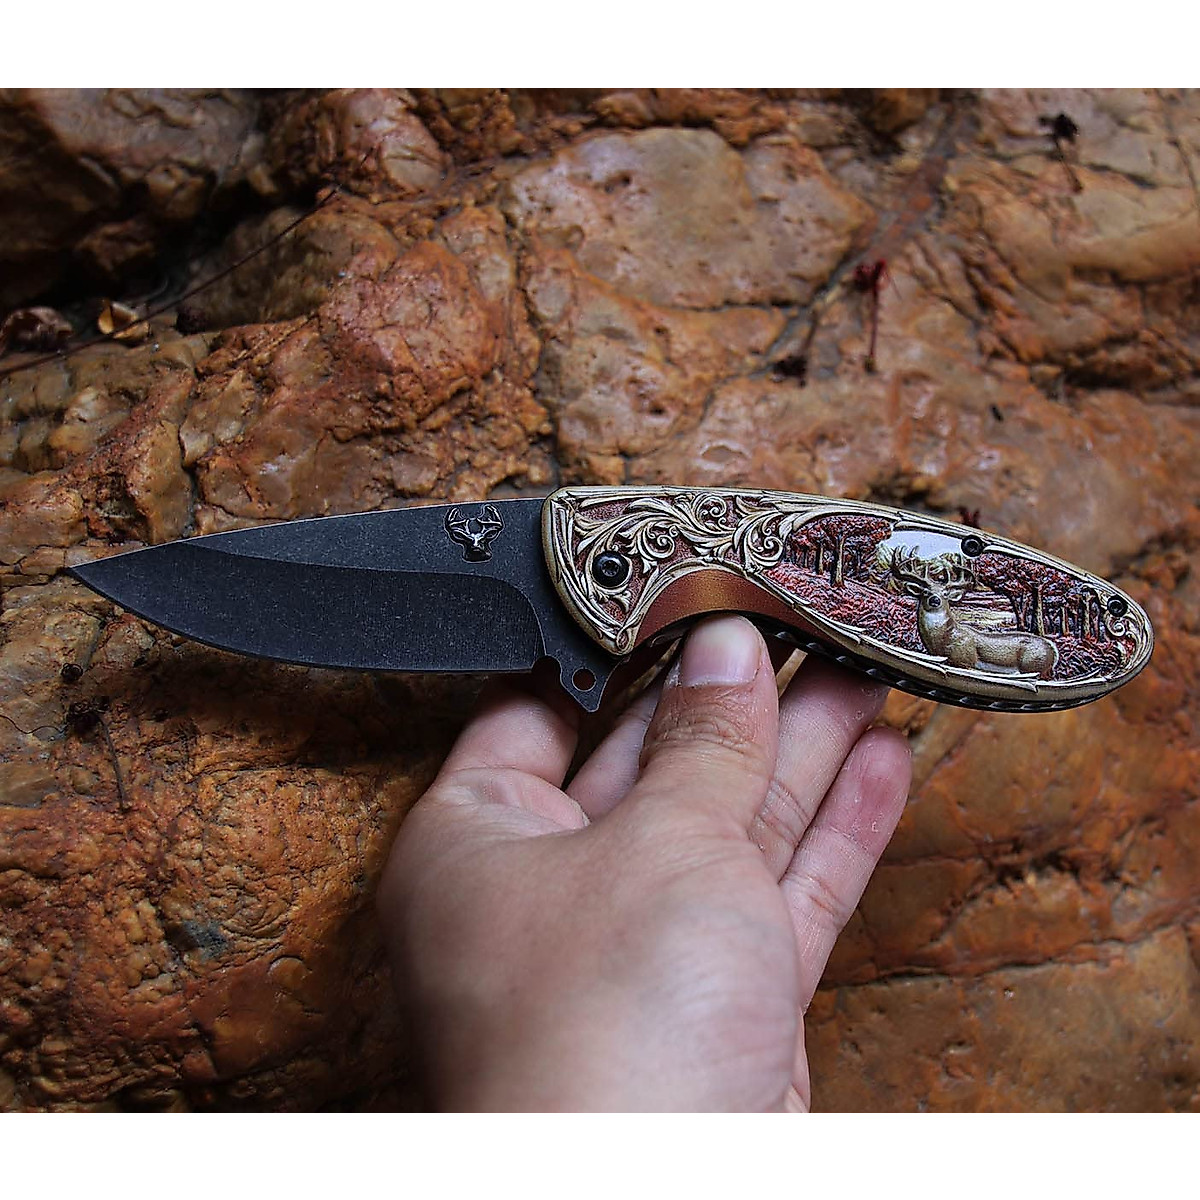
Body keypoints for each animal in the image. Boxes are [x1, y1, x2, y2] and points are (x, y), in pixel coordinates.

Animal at [888, 547, 1058, 680]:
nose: (935, 600)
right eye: (925, 592)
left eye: (945, 593)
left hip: (1033, 663)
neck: (943, 638)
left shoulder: (966, 659)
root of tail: (1053, 651)